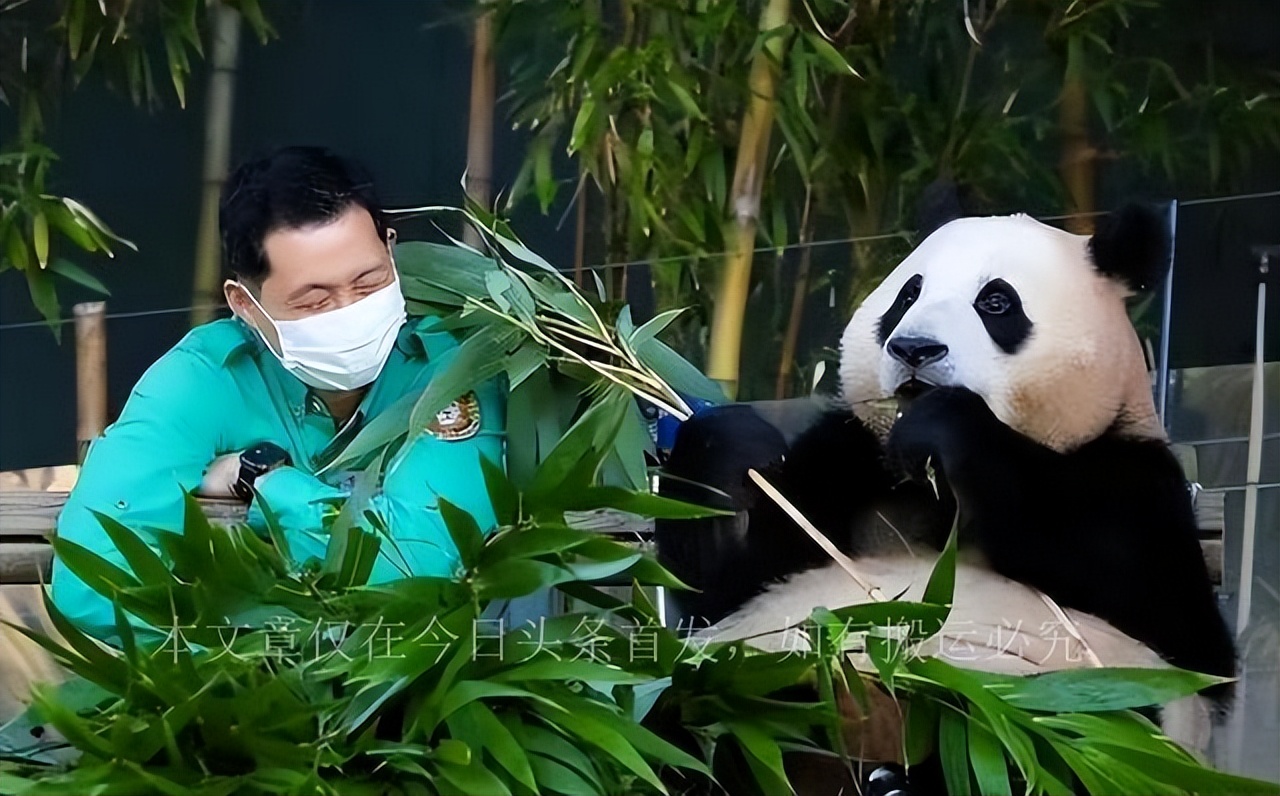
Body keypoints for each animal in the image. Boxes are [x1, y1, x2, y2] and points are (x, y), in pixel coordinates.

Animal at [654, 200, 1236, 783]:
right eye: (907, 296)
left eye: (996, 302)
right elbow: (726, 582)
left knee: (1048, 734)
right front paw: (731, 442)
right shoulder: (851, 457)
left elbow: (1174, 623)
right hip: (740, 676)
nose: (914, 348)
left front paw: (945, 423)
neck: (925, 485)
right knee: (685, 707)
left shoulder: (1137, 479)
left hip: (1068, 701)